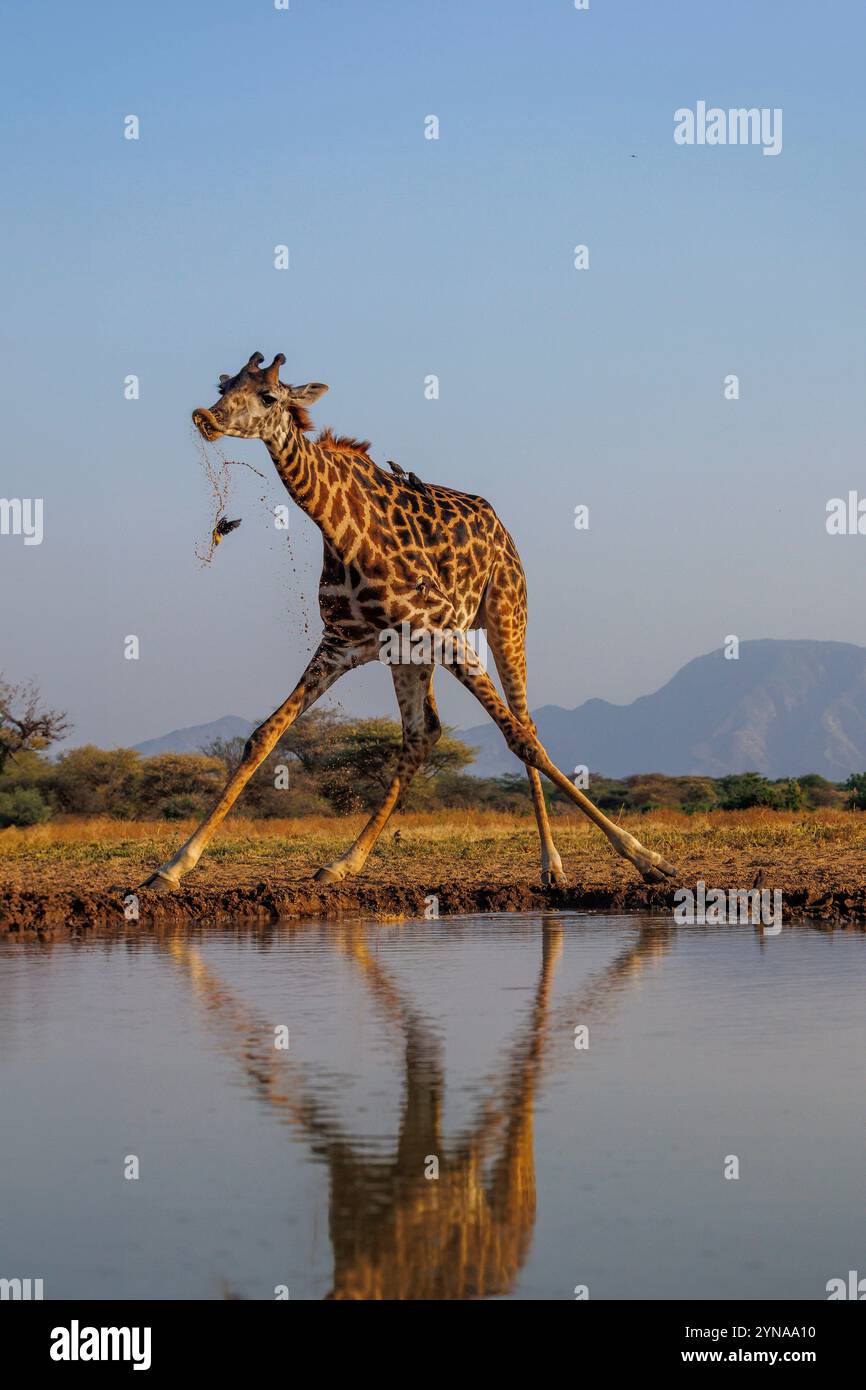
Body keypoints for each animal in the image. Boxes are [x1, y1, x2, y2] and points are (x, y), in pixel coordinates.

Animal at [140, 351, 678, 892]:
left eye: (268, 396)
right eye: (224, 386)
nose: (206, 418)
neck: (339, 530)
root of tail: (500, 526)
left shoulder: (443, 630)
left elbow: (520, 739)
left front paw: (646, 857)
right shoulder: (342, 642)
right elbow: (262, 737)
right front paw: (172, 866)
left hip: (506, 616)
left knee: (524, 723)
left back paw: (552, 863)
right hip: (408, 652)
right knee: (421, 736)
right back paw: (345, 862)